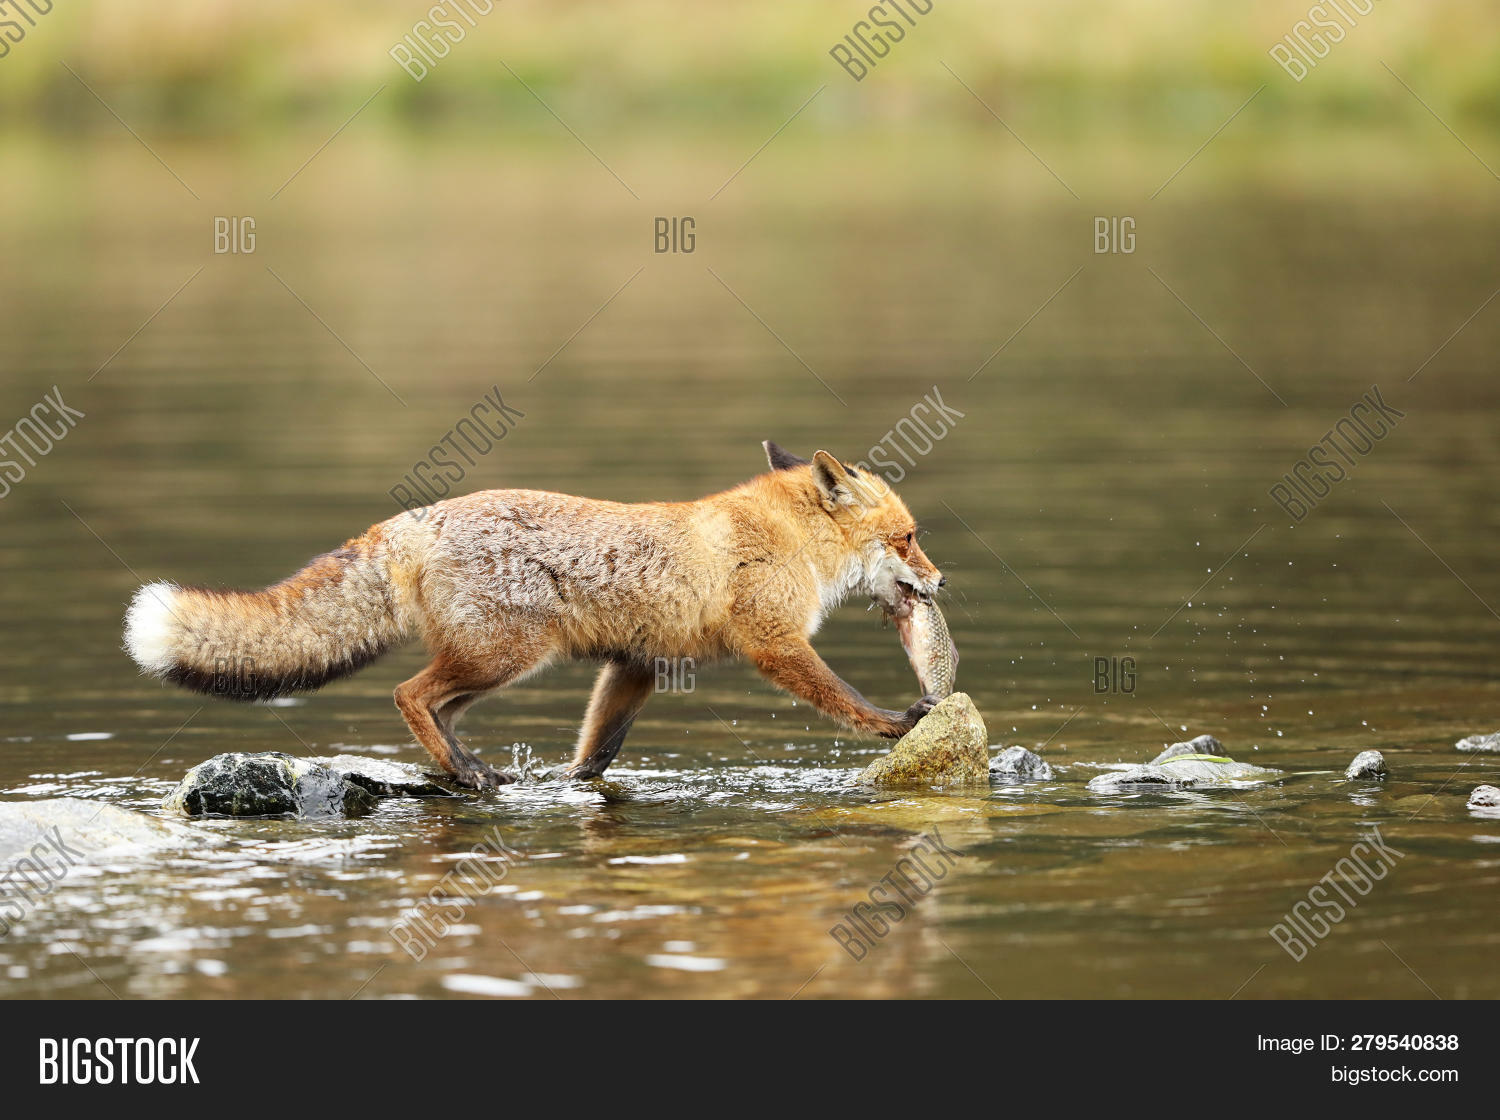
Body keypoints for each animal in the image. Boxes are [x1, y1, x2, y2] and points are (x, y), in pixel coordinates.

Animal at [123, 441, 946, 789]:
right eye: (909, 537)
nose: (941, 582)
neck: (784, 537)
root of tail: (412, 521)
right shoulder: (775, 644)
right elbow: (844, 698)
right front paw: (898, 722)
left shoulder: (636, 665)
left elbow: (599, 748)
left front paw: (573, 782)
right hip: (506, 656)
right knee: (408, 695)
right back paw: (464, 770)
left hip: (491, 667)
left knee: (435, 709)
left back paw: (464, 768)